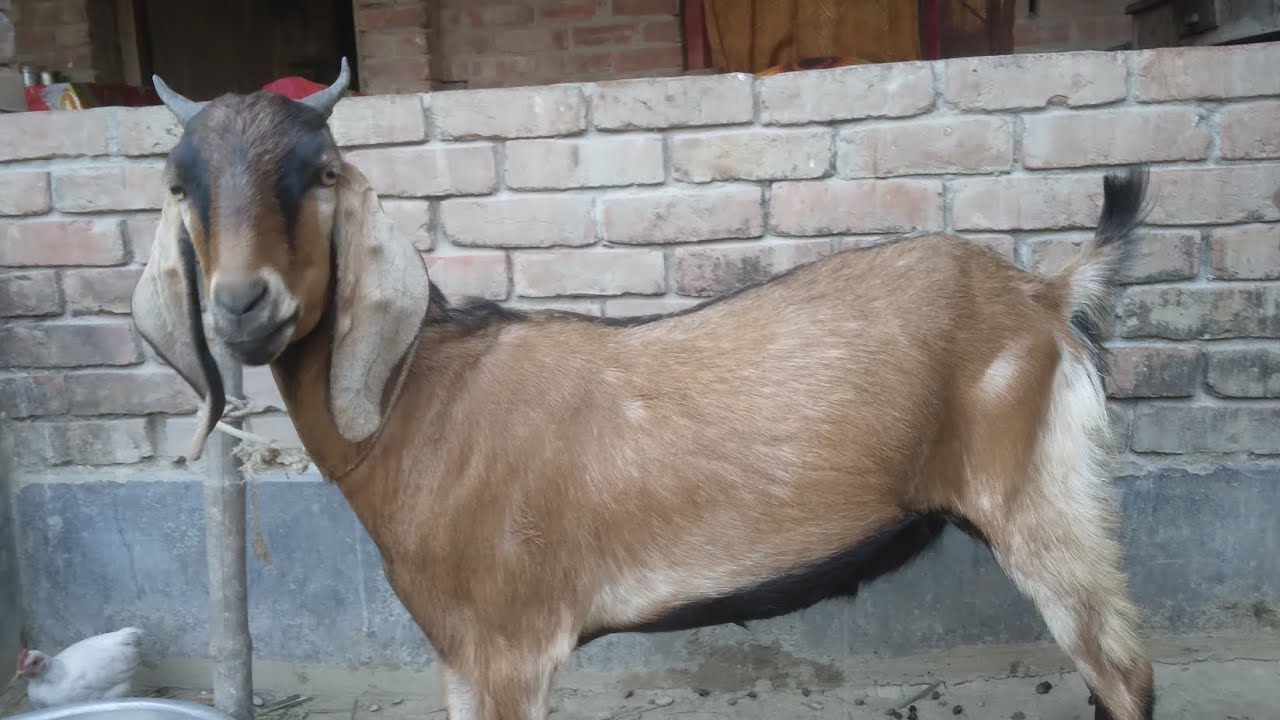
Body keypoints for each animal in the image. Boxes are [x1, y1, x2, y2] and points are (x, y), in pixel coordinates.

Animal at [132, 58, 1157, 720]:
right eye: (180, 184)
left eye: (318, 172)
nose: (242, 305)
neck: (415, 401)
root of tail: (1045, 292)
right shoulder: (461, 656)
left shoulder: (506, 647)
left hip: (1043, 501)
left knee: (1125, 675)